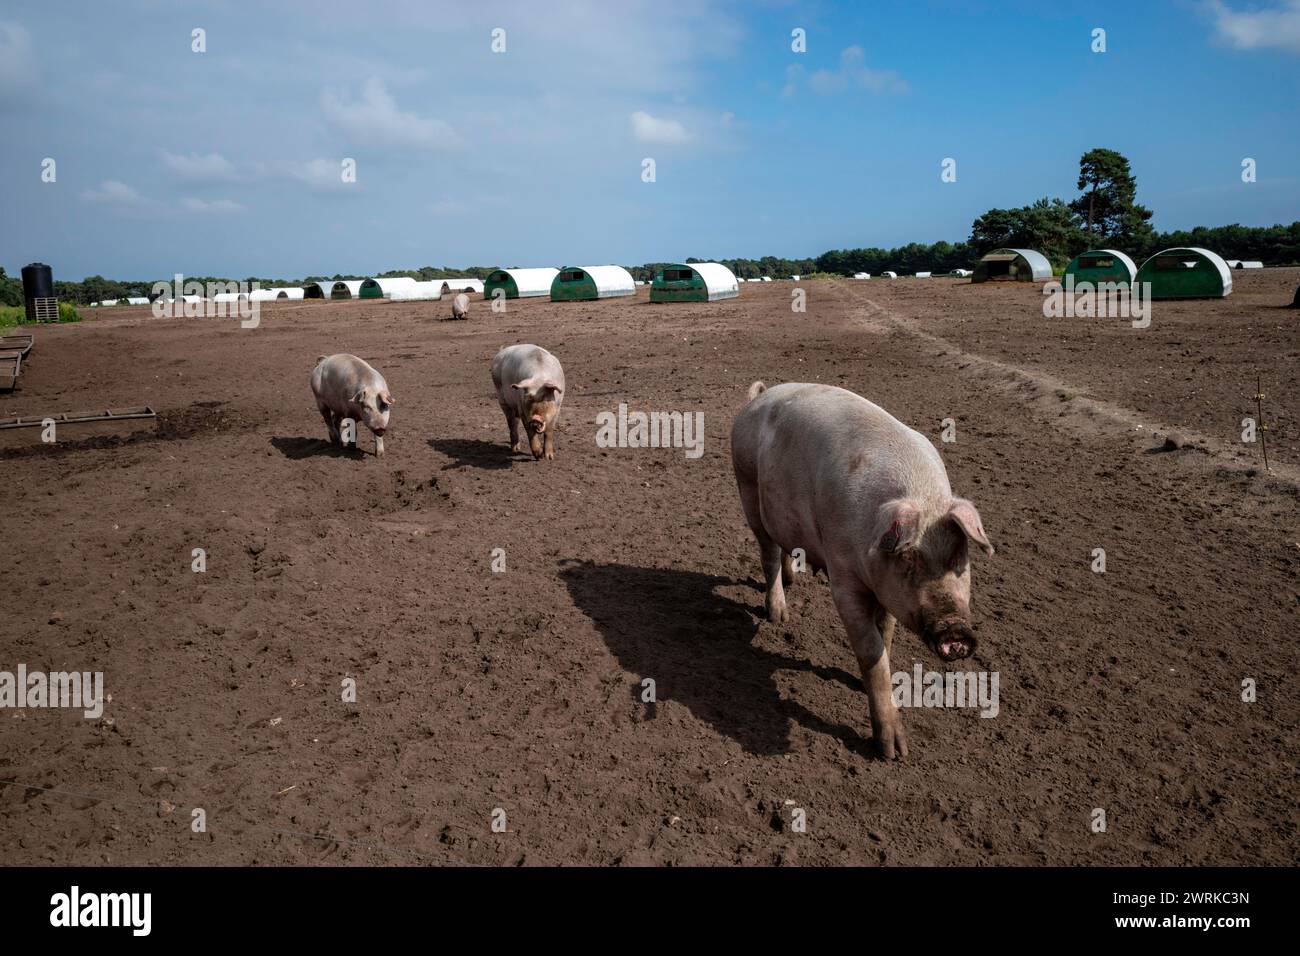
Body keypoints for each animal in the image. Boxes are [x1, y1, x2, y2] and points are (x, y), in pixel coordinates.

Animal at [731, 381, 994, 759]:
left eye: (959, 556)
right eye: (909, 558)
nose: (954, 628)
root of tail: (758, 397)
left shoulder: (886, 591)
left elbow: (885, 634)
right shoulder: (845, 581)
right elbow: (871, 651)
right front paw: (894, 752)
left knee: (783, 547)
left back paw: (794, 581)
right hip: (748, 489)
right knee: (768, 554)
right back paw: (779, 617)